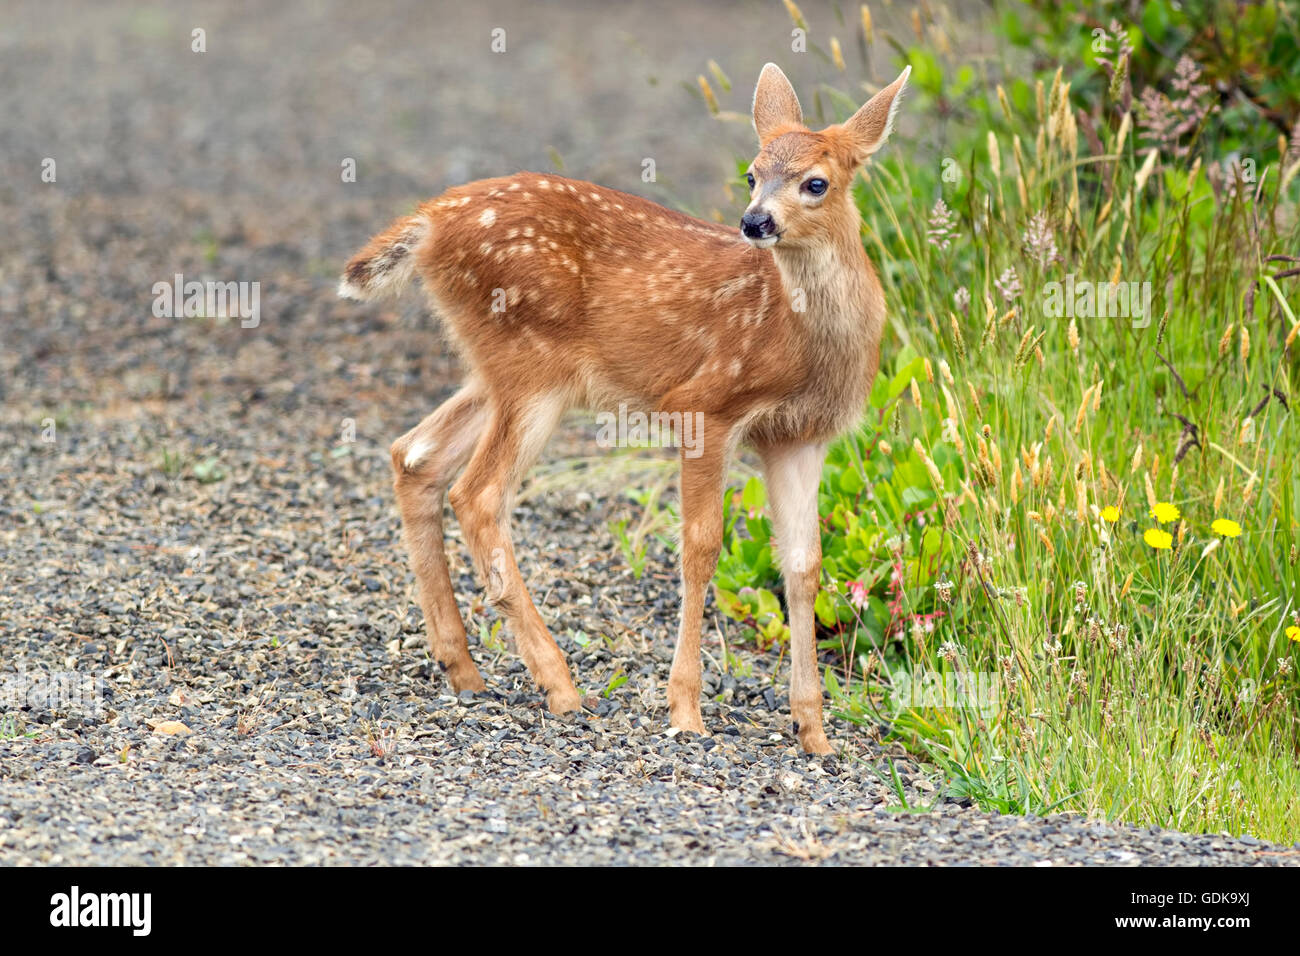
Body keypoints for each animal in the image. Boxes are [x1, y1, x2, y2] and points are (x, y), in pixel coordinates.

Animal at [339, 62, 909, 753]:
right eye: (751, 173)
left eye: (815, 182)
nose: (754, 222)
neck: (797, 339)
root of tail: (429, 219)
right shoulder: (705, 407)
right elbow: (701, 548)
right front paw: (685, 711)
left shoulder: (799, 437)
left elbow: (803, 567)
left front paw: (813, 730)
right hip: (532, 369)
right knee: (476, 494)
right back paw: (560, 686)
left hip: (497, 371)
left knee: (415, 455)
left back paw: (463, 668)